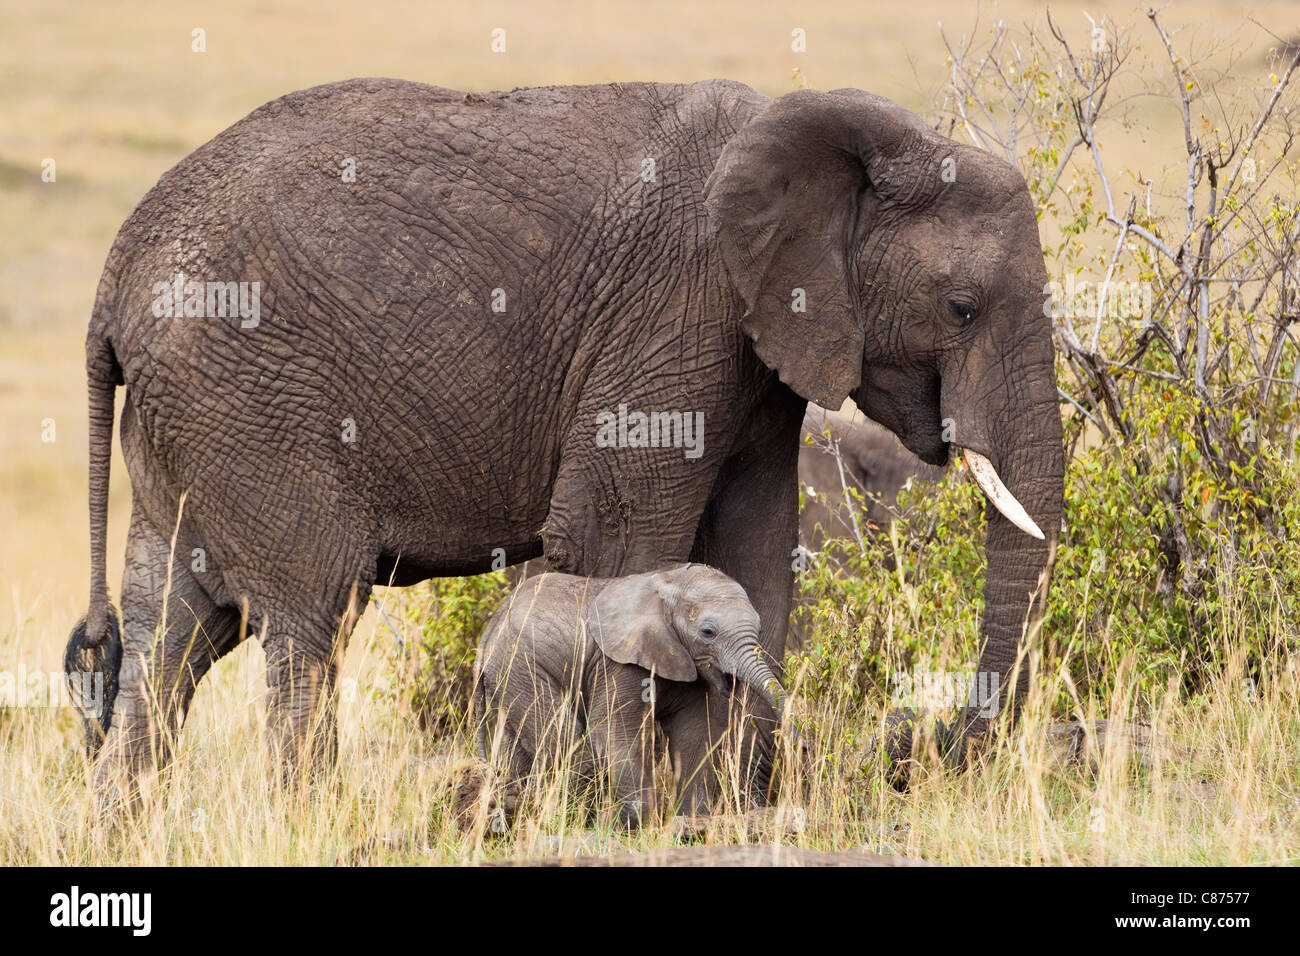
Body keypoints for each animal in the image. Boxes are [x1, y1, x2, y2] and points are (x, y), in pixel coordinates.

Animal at [472, 563, 787, 828]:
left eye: (759, 629)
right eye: (708, 632)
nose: (798, 738)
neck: (669, 581)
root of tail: (488, 632)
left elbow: (694, 735)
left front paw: (693, 821)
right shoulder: (618, 660)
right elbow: (615, 733)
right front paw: (637, 825)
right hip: (520, 665)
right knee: (567, 741)